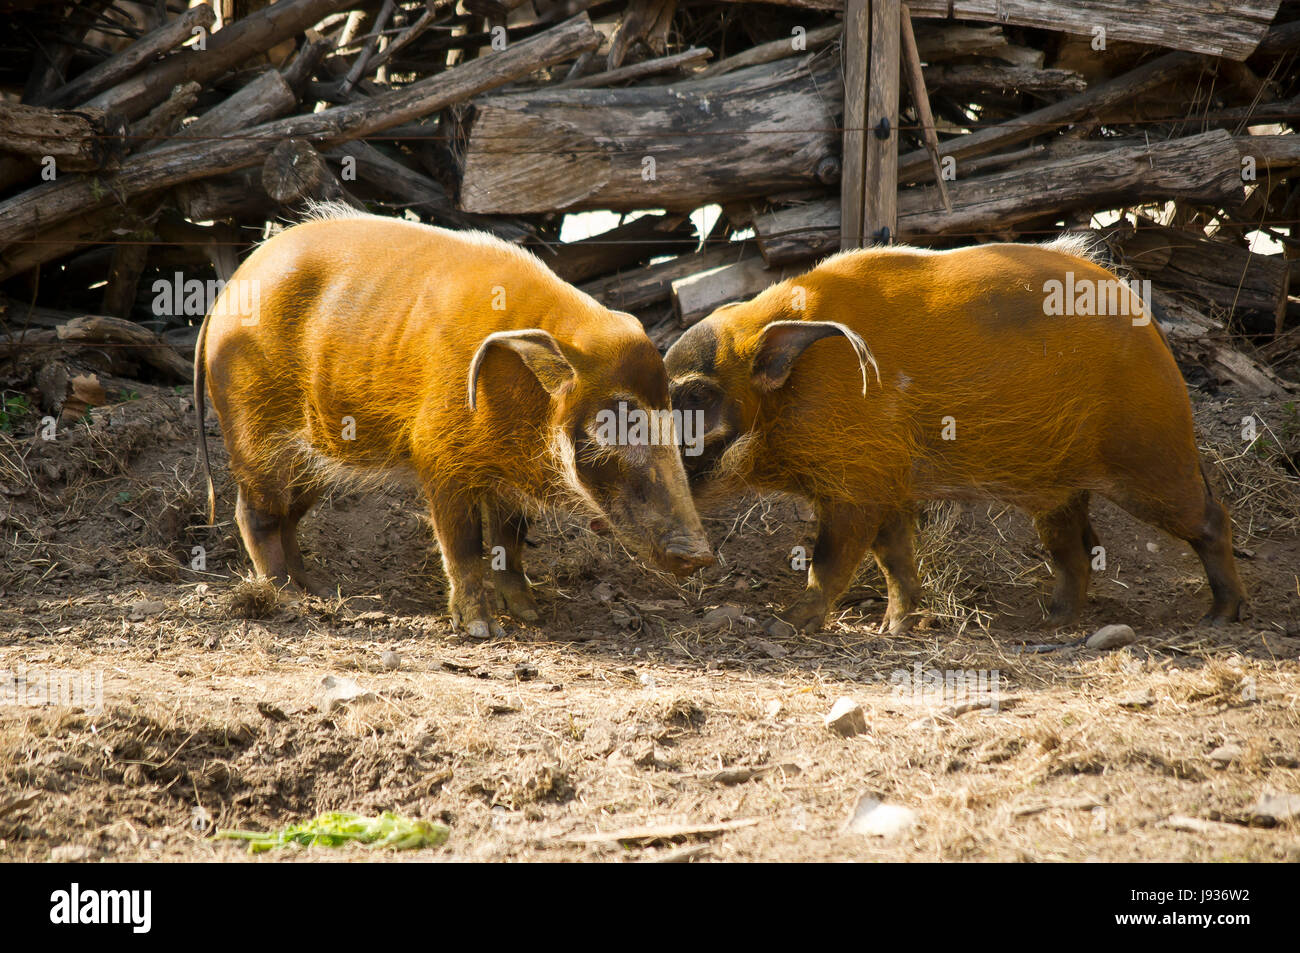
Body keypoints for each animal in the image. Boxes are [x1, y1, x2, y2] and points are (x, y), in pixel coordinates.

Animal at [195, 204, 713, 638]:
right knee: (255, 513)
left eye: (669, 413)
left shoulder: (509, 476)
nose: (701, 555)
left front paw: (531, 615)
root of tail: (227, 291)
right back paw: (285, 597)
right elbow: (463, 543)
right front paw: (482, 629)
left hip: (314, 458)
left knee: (287, 515)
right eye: (616, 417)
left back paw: (315, 588)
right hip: (251, 430)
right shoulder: (438, 457)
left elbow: (510, 540)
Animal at [664, 236, 1245, 634]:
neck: (792, 392)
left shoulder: (857, 485)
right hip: (1059, 490)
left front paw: (785, 624)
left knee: (1212, 518)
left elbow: (831, 559)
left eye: (696, 396)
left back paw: (1219, 617)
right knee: (1078, 548)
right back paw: (1050, 621)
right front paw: (895, 628)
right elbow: (894, 557)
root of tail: (1148, 323)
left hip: (1150, 456)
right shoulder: (889, 484)